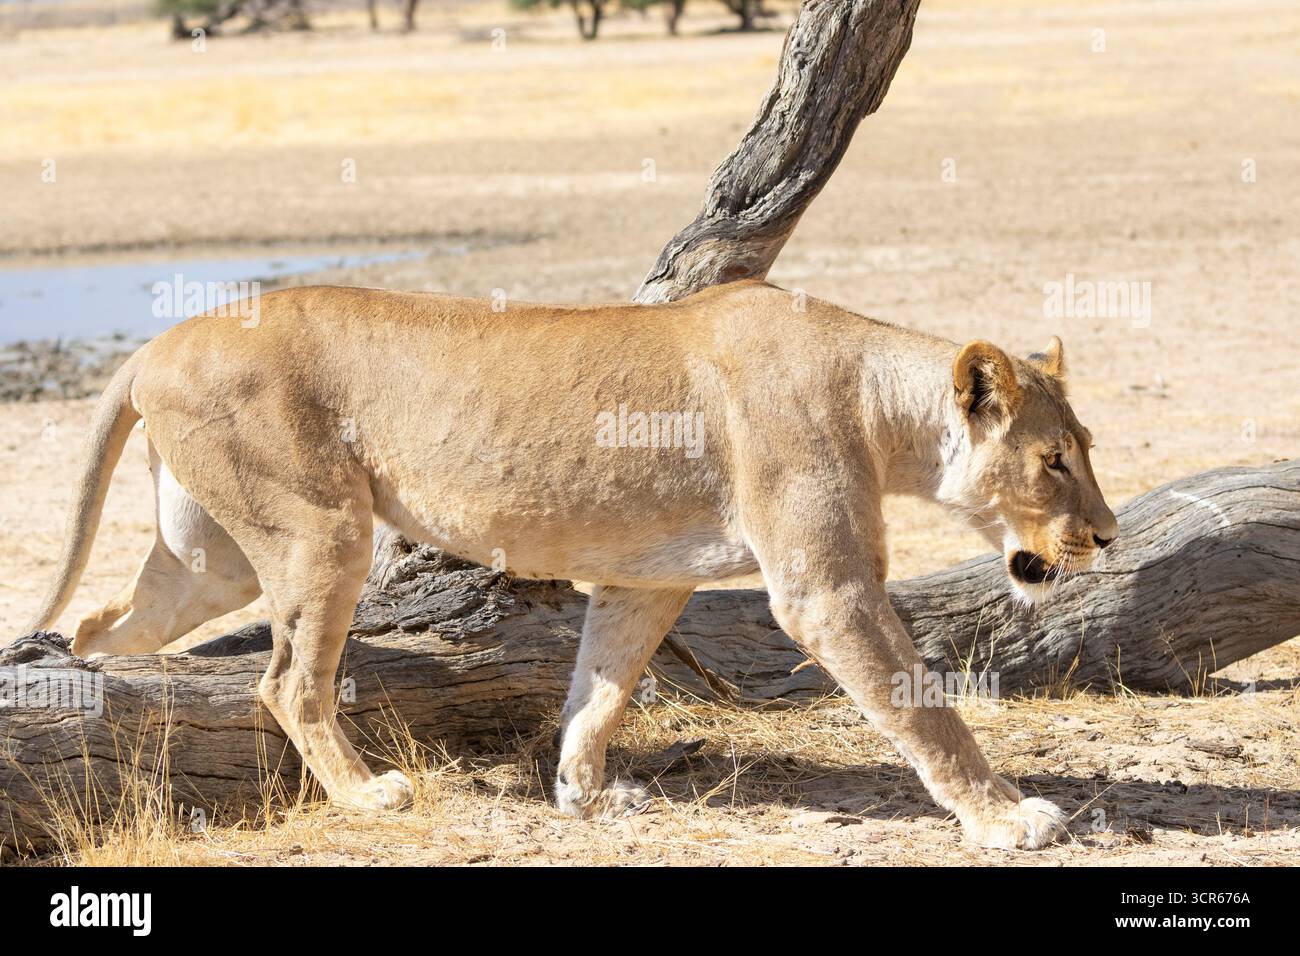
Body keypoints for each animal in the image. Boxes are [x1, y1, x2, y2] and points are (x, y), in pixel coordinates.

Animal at [25, 279, 1117, 850]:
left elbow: (601, 686)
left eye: (1087, 447)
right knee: (287, 681)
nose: (1105, 535)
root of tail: (159, 339)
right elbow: (920, 705)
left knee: (104, 624)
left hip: (212, 557)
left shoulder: (644, 579)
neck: (879, 408)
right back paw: (367, 795)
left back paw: (72, 709)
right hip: (323, 529)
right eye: (1053, 460)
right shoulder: (825, 587)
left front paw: (584, 794)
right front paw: (1006, 814)